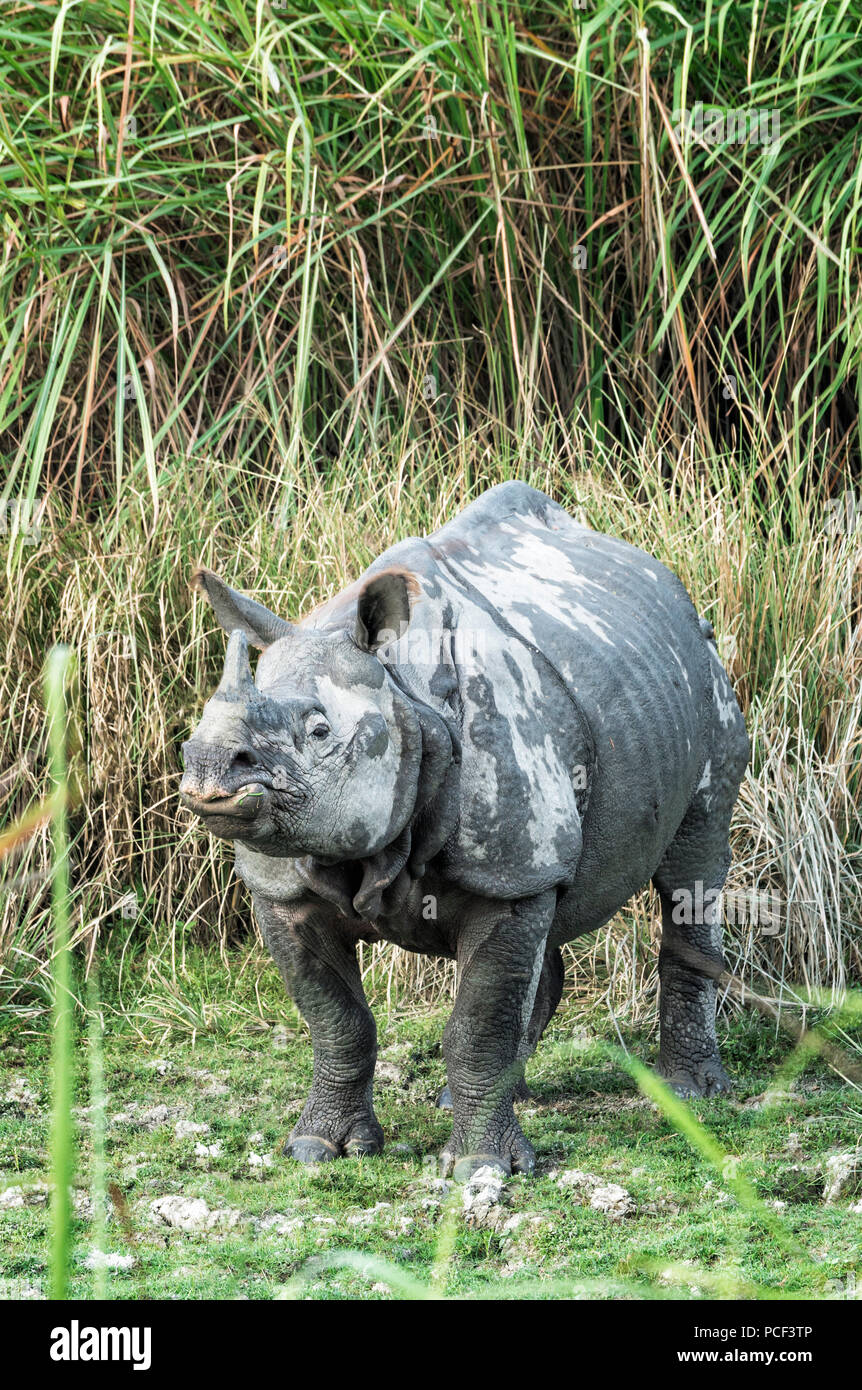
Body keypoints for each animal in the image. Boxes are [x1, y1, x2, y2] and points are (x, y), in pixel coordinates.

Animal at [180, 482, 749, 1181]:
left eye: (319, 731)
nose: (208, 763)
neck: (405, 692)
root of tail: (672, 591)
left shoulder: (506, 865)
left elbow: (479, 1021)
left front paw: (483, 1167)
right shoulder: (283, 886)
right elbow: (337, 1018)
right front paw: (320, 1149)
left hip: (709, 684)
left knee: (692, 872)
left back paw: (691, 1092)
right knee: (549, 917)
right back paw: (493, 1093)